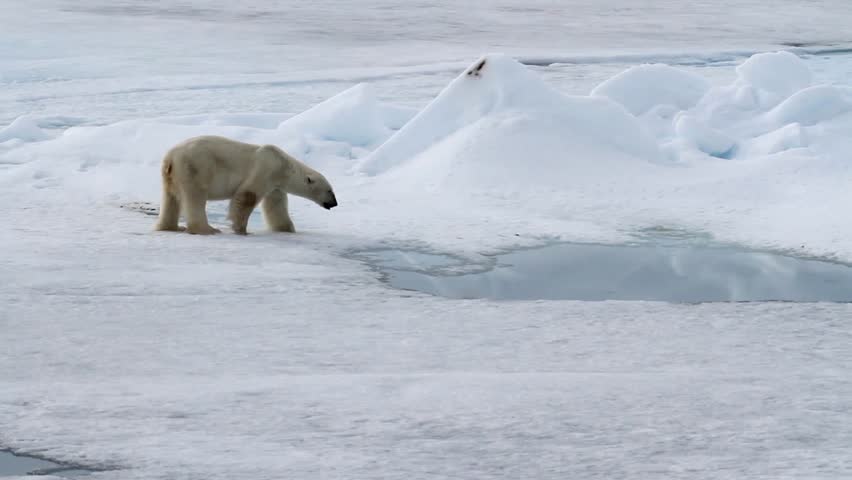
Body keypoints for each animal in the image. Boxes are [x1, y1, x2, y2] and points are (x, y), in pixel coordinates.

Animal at [154, 135, 337, 235]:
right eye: (329, 190)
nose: (335, 203)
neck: (284, 166)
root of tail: (170, 158)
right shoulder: (266, 167)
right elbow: (248, 195)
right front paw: (241, 229)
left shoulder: (275, 184)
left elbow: (276, 206)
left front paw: (287, 229)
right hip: (195, 167)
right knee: (195, 197)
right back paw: (207, 229)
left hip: (170, 175)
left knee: (170, 198)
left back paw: (170, 227)